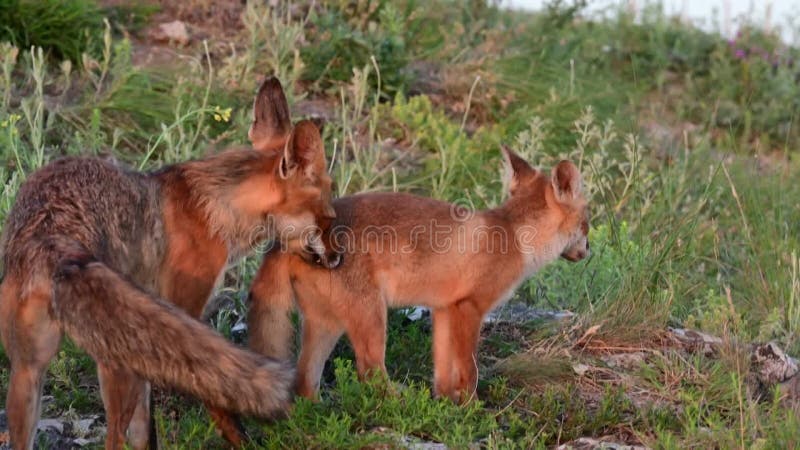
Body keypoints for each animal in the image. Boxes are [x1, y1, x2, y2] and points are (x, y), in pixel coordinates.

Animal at [0, 77, 340, 450]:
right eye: (327, 217)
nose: (338, 259)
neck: (215, 207)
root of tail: (50, 234)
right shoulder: (185, 307)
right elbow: (212, 390)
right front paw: (237, 436)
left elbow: (149, 427)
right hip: (119, 365)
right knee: (115, 437)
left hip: (28, 372)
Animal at [247, 147, 590, 403]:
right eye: (588, 221)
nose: (589, 250)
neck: (515, 238)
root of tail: (286, 240)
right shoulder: (470, 308)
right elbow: (469, 369)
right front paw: (471, 408)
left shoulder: (444, 310)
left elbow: (443, 369)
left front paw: (446, 404)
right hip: (372, 317)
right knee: (369, 374)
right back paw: (403, 403)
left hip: (327, 324)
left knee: (304, 382)